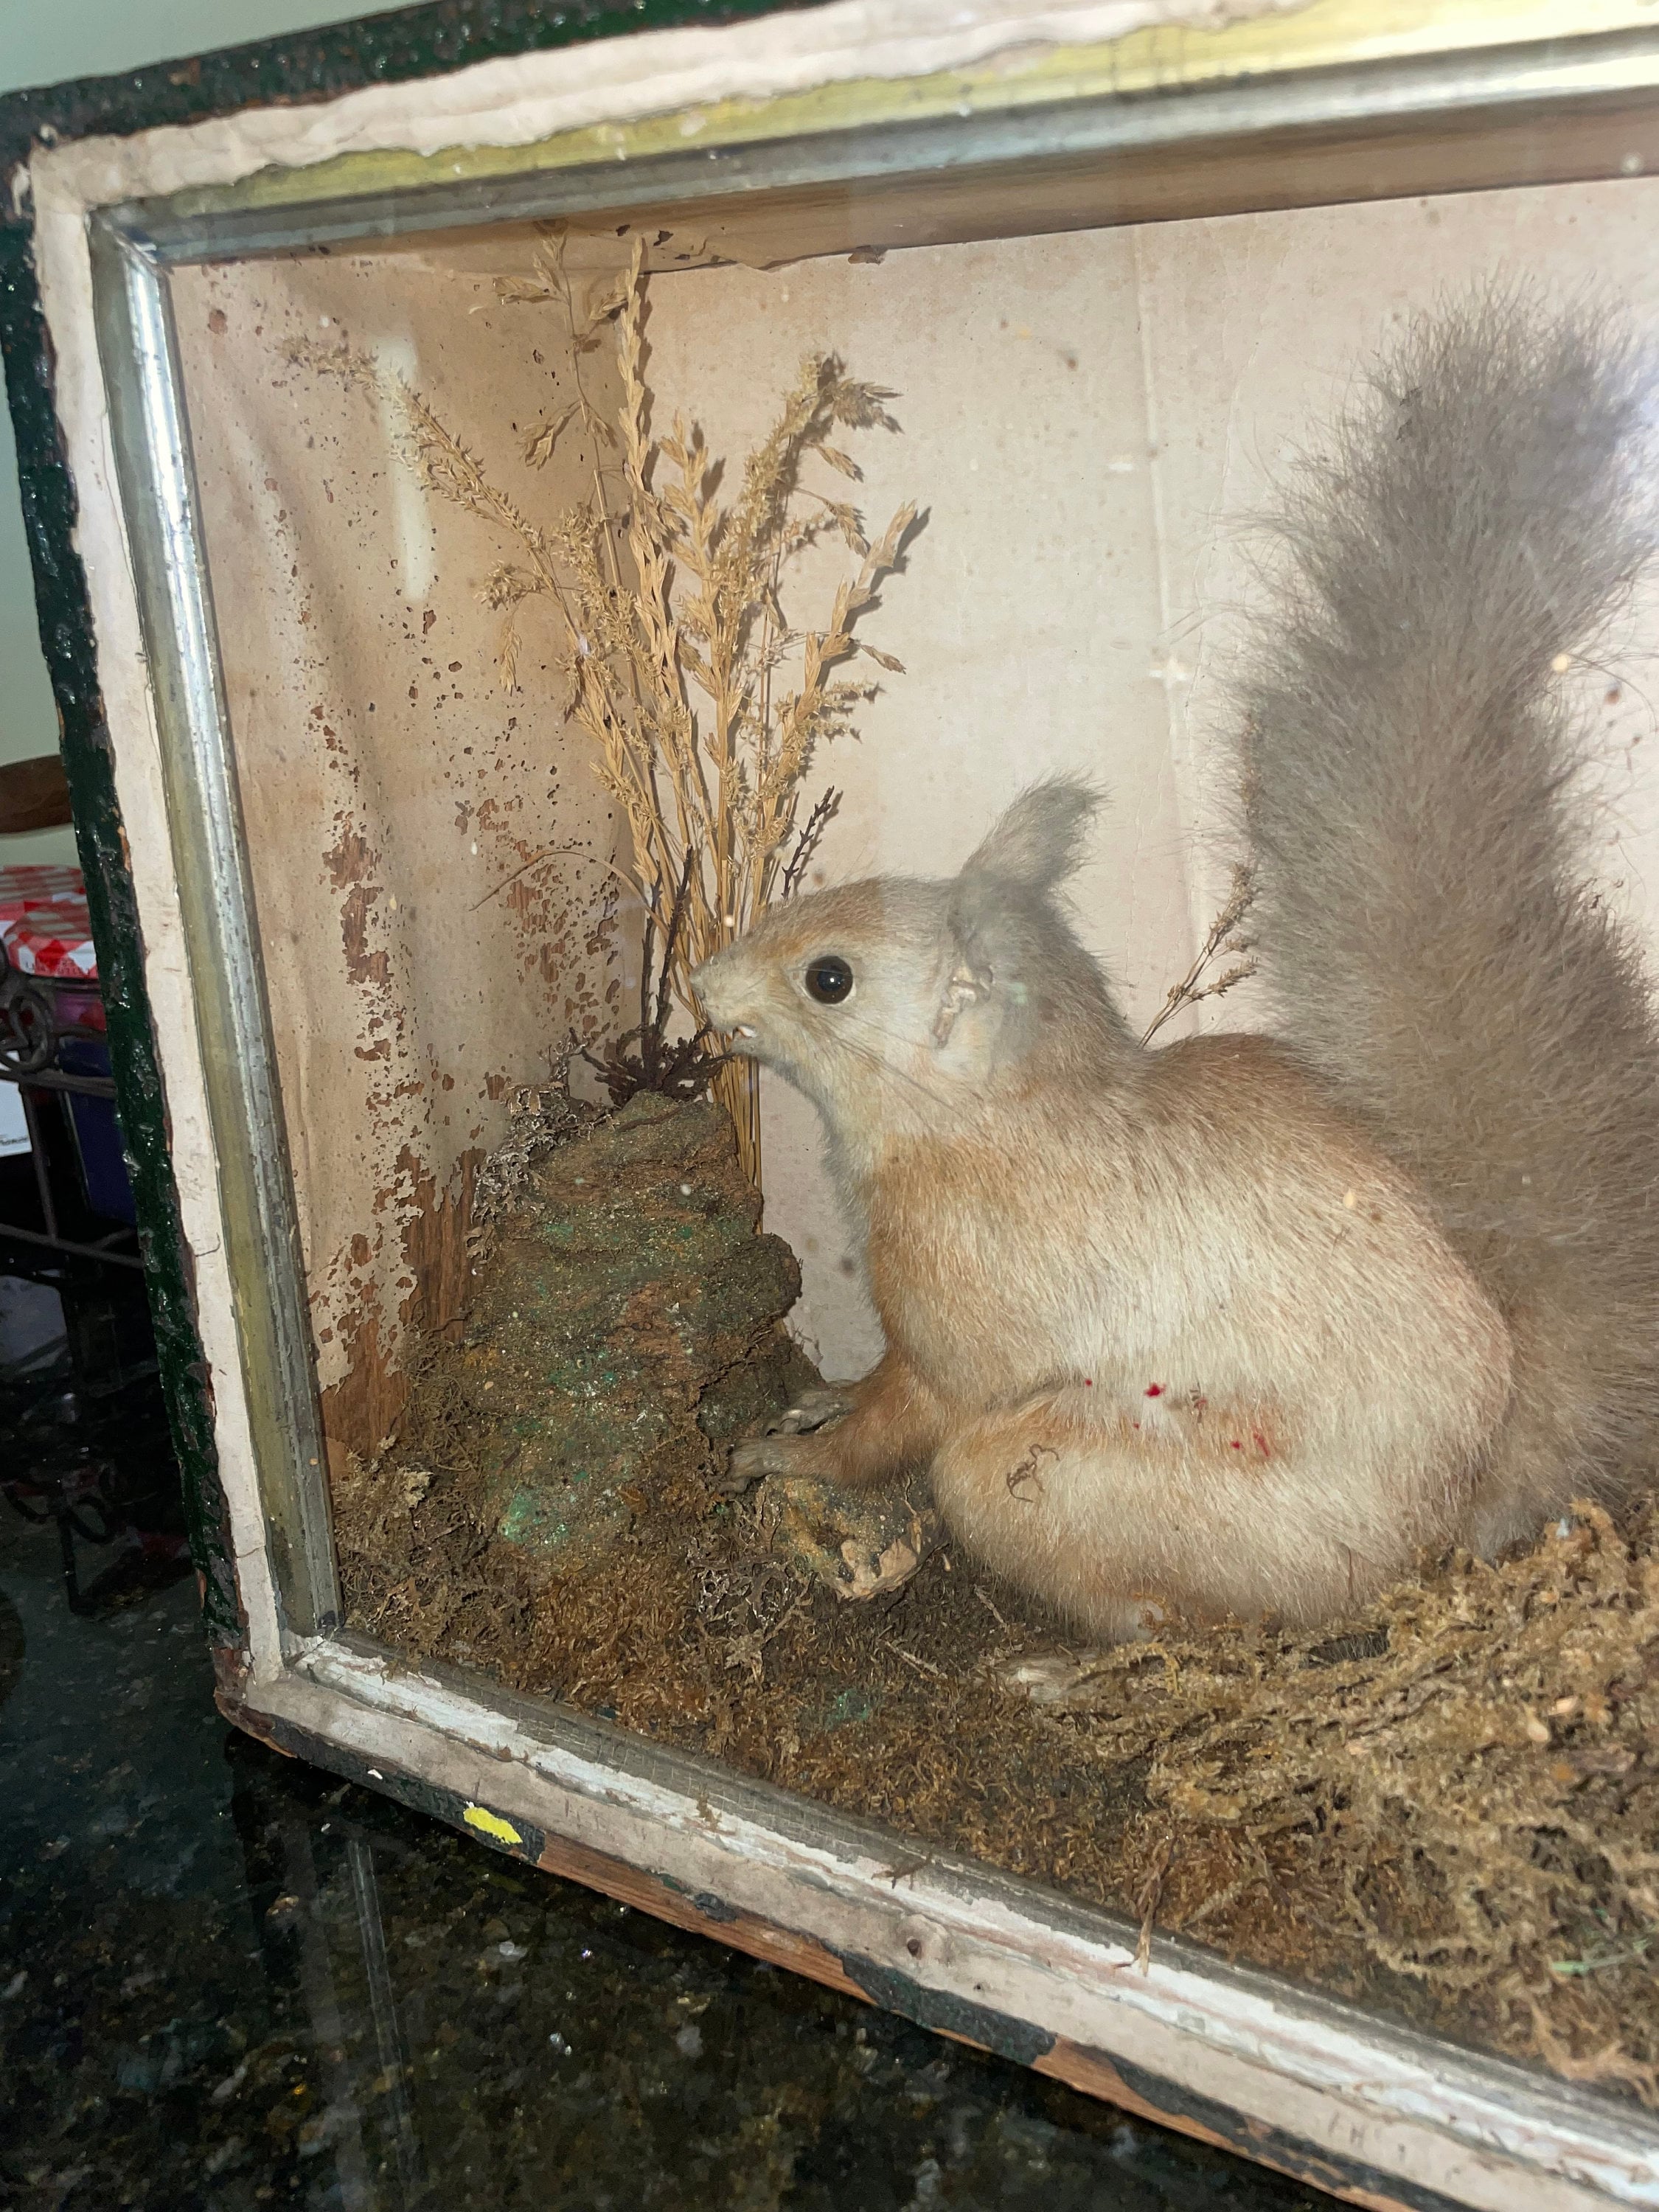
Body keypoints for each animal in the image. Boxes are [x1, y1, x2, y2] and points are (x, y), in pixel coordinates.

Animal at [691, 290, 1659, 1639]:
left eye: (827, 978)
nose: (703, 990)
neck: (986, 1119)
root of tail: (1466, 1509)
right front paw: (812, 1399)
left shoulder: (963, 1305)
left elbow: (904, 1412)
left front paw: (786, 1454)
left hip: (1069, 1483)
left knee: (1146, 1589)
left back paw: (1083, 1659)